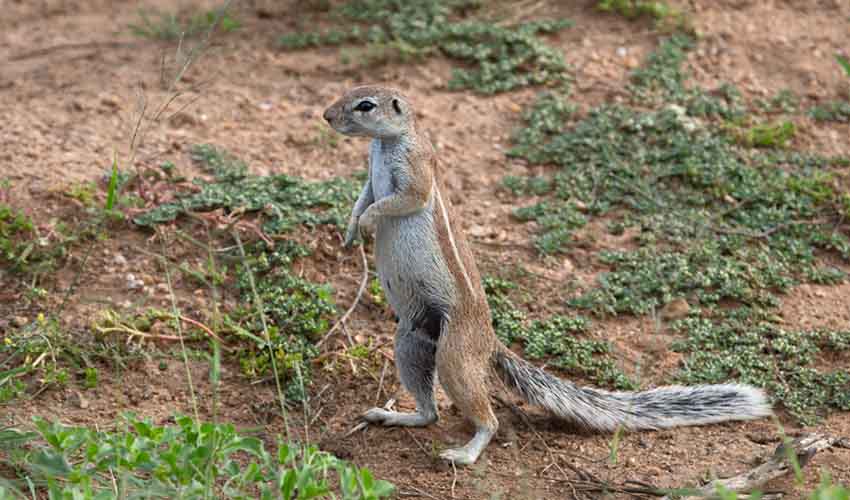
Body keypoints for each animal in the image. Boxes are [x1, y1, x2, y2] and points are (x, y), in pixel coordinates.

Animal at [322, 85, 772, 465]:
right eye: (346, 92)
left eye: (365, 105)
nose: (326, 115)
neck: (386, 143)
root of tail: (489, 342)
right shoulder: (370, 176)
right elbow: (364, 196)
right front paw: (351, 228)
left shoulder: (416, 171)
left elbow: (399, 200)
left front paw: (368, 223)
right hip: (410, 340)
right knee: (429, 411)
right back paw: (394, 415)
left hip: (454, 354)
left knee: (486, 417)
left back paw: (465, 453)